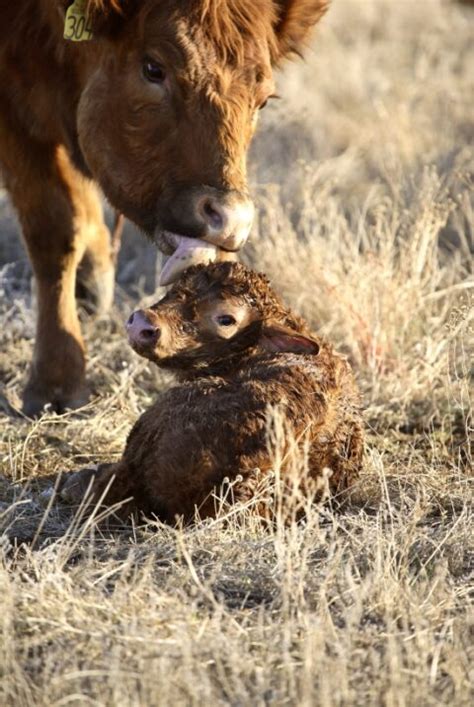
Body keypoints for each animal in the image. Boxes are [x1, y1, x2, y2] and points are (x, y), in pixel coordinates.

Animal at [0, 0, 328, 416]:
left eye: (264, 99)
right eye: (154, 69)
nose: (229, 218)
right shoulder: (14, 120)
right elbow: (55, 230)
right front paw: (57, 383)